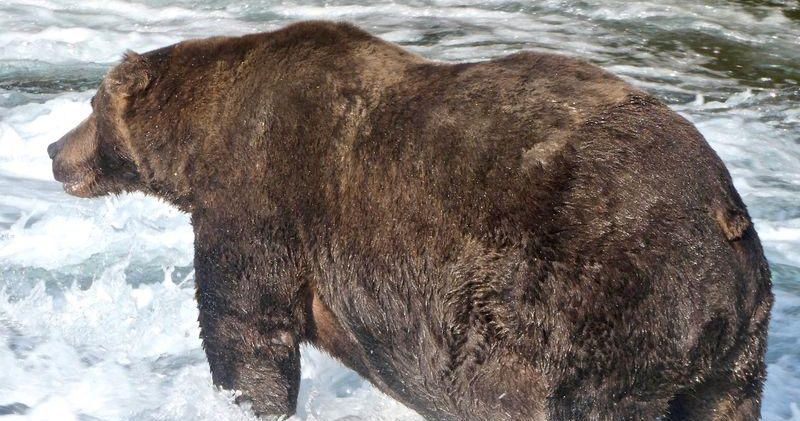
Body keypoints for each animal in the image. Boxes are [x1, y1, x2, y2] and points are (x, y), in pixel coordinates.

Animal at [48, 21, 773, 420]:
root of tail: (723, 213)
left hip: (590, 305)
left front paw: (244, 399)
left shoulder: (260, 198)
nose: (54, 151)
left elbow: (245, 330)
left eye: (91, 105)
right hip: (733, 352)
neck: (201, 143)